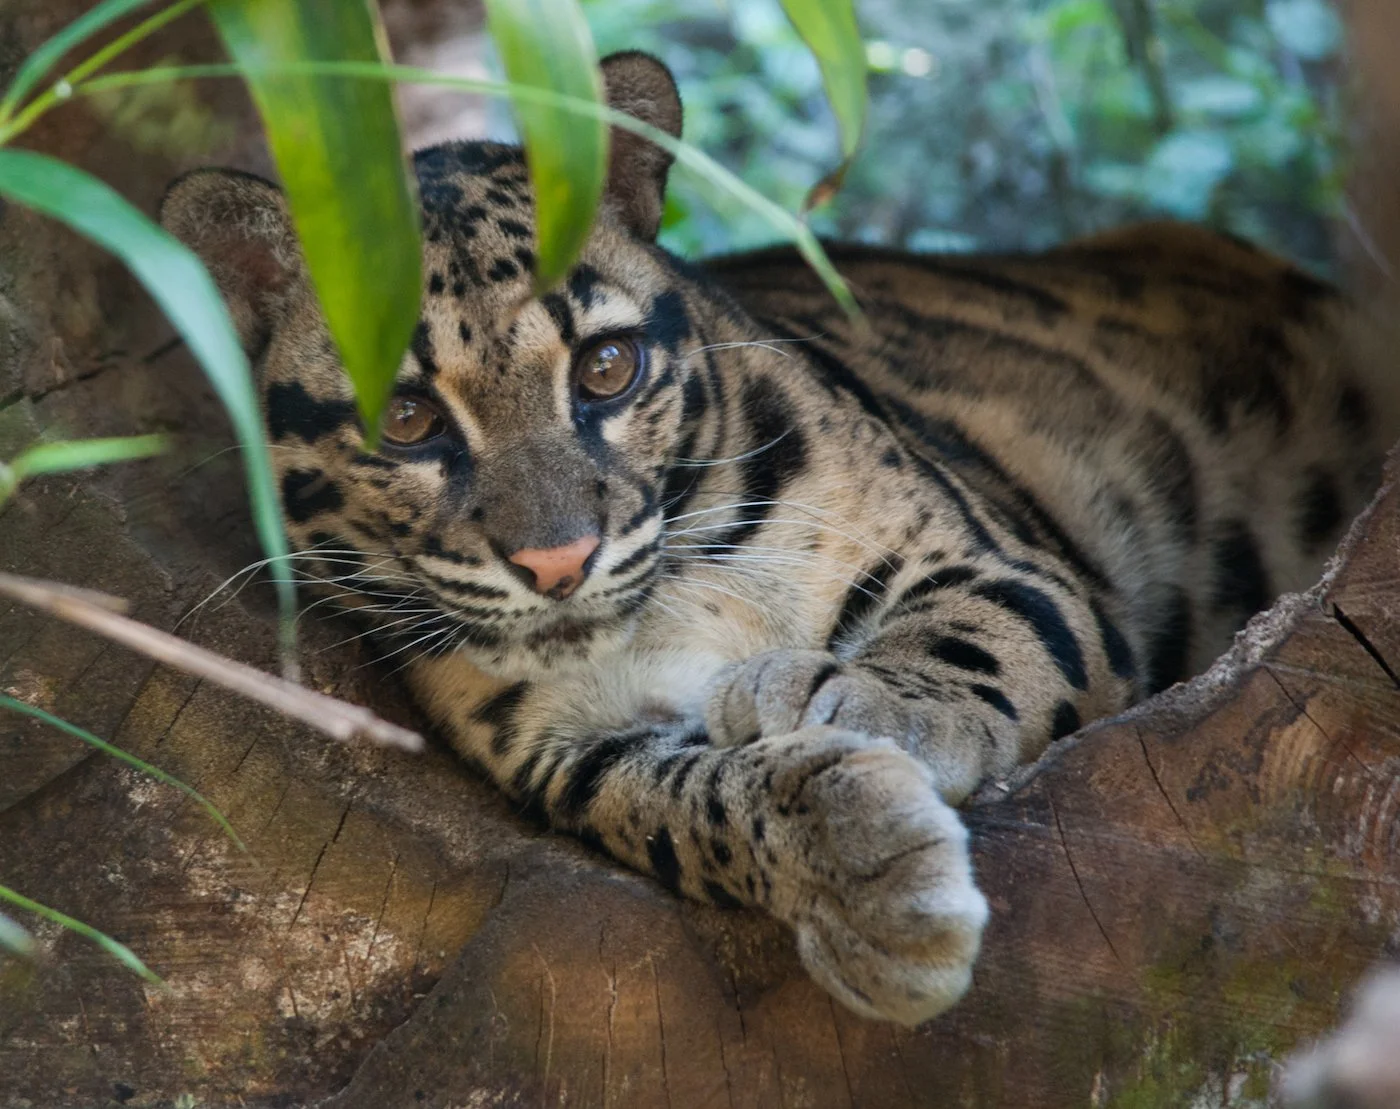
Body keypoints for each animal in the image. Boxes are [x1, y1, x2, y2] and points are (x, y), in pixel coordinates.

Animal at [160, 51, 1399, 1025]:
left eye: (605, 369)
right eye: (406, 420)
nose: (556, 560)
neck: (674, 589)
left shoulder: (1003, 557)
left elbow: (970, 637)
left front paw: (861, 699)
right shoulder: (558, 748)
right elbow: (685, 800)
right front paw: (867, 870)